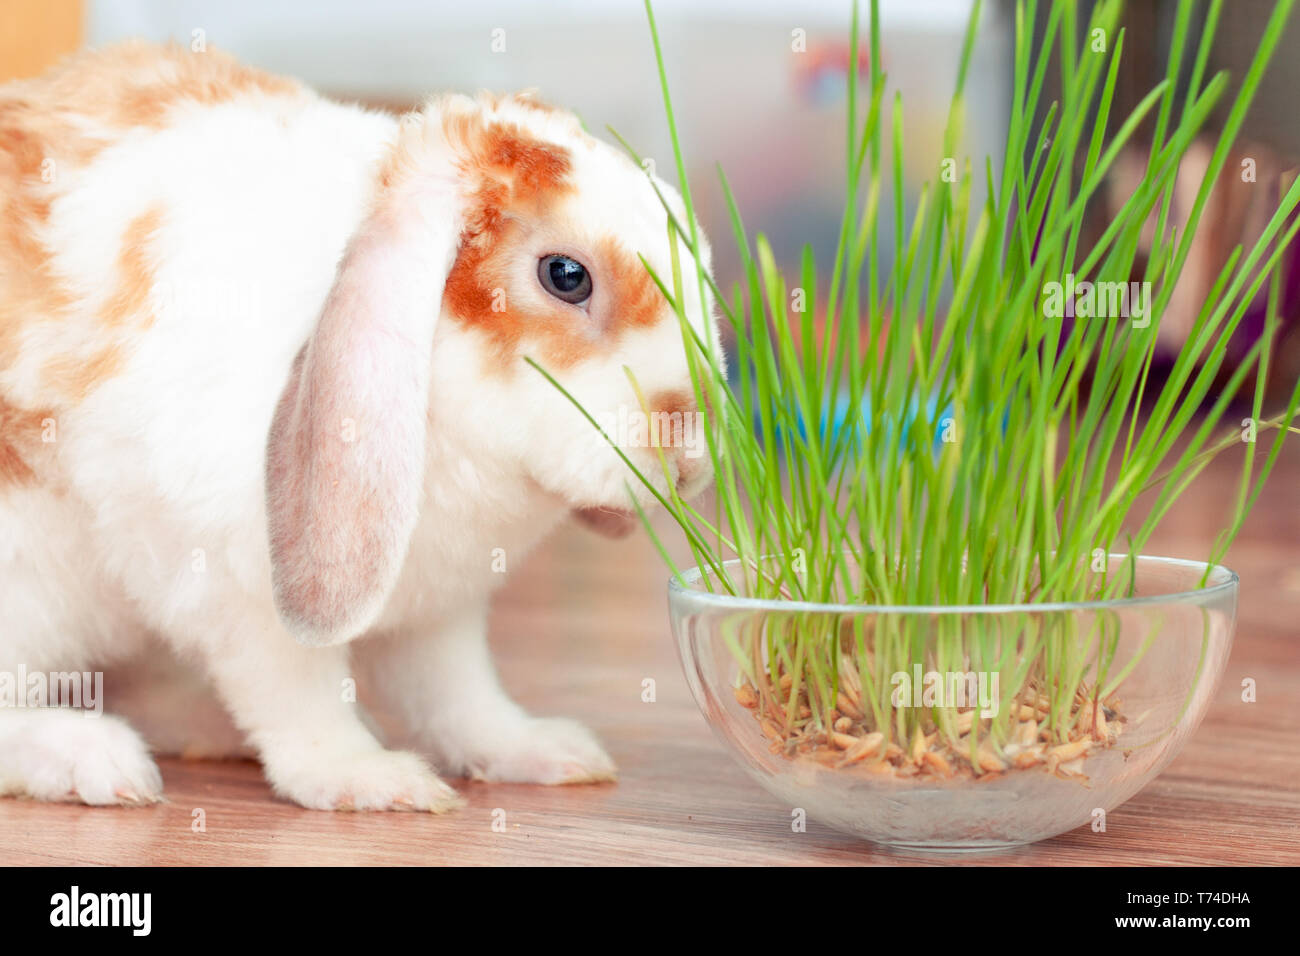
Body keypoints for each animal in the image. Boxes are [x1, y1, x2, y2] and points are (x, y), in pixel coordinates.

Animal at [0, 41, 720, 810]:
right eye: (565, 275)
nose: (691, 460)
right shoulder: (245, 599)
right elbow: (299, 698)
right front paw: (371, 780)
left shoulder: (442, 615)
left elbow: (457, 694)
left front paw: (542, 751)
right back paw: (94, 758)